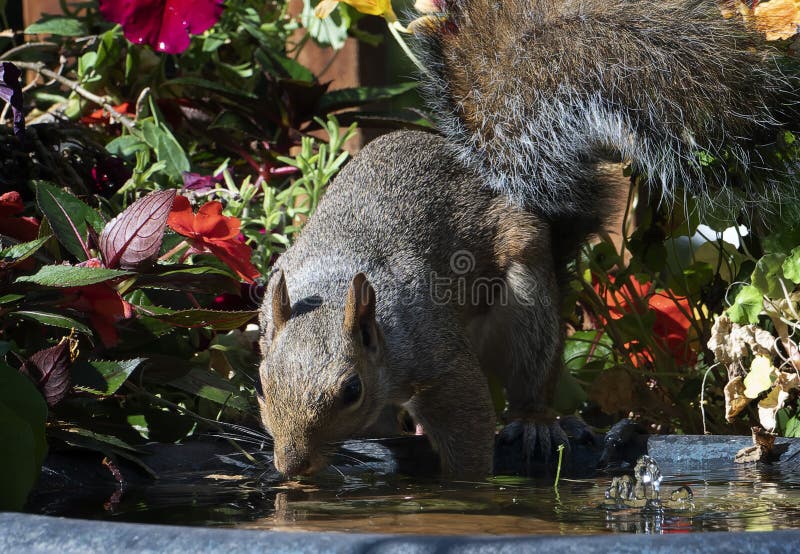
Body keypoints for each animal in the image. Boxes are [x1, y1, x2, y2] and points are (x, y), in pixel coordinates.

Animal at [257, 0, 800, 478]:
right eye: (261, 384)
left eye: (351, 390)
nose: (290, 466)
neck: (337, 287)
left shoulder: (435, 352)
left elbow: (468, 424)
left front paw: (464, 491)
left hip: (527, 301)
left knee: (530, 376)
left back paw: (534, 421)